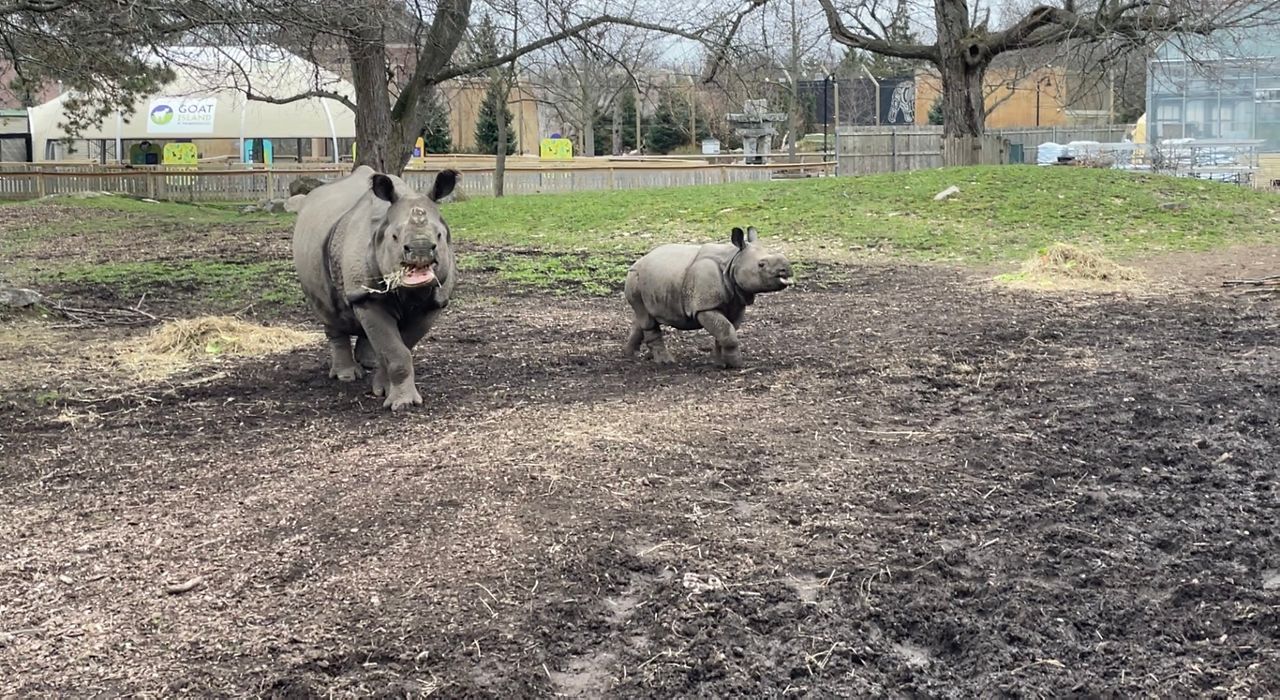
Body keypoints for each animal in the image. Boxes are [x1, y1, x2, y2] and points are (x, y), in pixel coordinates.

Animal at [292, 164, 460, 410]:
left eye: (439, 236)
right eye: (395, 237)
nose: (420, 251)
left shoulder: (434, 303)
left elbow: (401, 347)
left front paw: (384, 389)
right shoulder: (365, 296)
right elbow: (394, 351)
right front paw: (402, 403)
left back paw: (368, 362)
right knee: (329, 313)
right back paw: (347, 375)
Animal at [623, 226, 793, 368]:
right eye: (761, 265)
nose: (787, 269)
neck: (733, 259)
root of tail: (638, 261)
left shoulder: (737, 304)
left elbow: (724, 332)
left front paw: (719, 363)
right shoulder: (704, 307)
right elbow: (727, 332)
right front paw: (736, 365)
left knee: (643, 317)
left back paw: (631, 355)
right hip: (635, 278)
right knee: (647, 319)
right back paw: (666, 362)